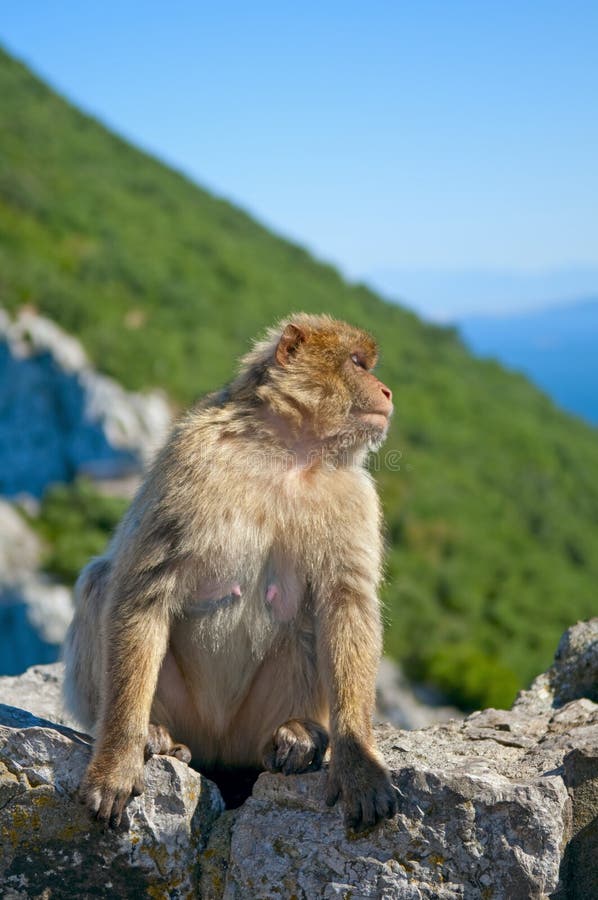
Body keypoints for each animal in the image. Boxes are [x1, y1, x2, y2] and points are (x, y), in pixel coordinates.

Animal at [63, 313, 398, 832]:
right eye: (358, 363)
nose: (386, 391)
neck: (287, 452)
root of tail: (219, 752)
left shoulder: (354, 496)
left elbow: (346, 606)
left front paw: (358, 764)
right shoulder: (190, 457)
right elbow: (143, 591)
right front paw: (117, 761)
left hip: (251, 728)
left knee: (311, 622)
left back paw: (300, 736)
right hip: (188, 716)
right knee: (102, 582)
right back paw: (154, 735)